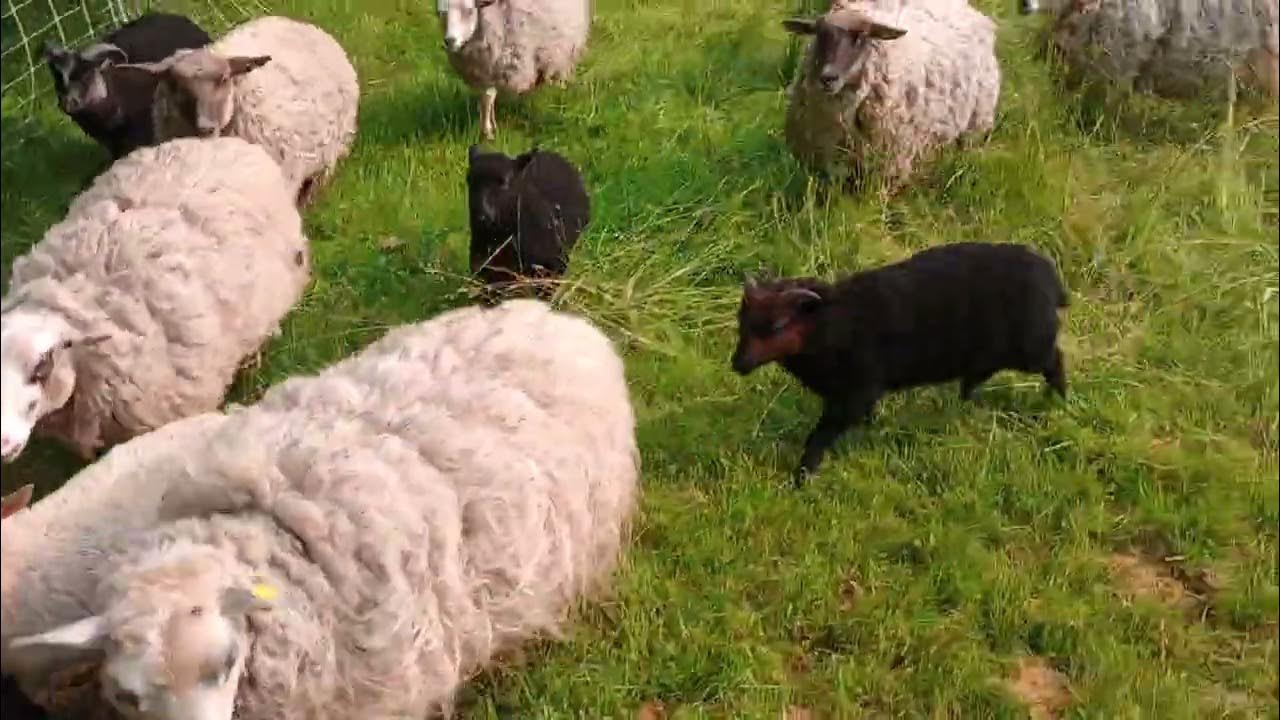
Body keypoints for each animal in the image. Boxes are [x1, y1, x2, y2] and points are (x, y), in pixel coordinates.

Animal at [439, 0, 591, 140]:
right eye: (441, 13)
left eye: (470, 11)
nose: (449, 41)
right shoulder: (486, 71)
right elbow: (487, 100)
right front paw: (491, 126)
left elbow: (488, 98)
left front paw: (487, 133)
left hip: (563, 50)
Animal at [731, 242, 1069, 484]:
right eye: (742, 318)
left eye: (778, 325)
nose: (738, 364)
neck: (833, 324)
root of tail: (1051, 277)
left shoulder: (856, 391)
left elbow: (820, 436)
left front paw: (801, 477)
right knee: (982, 371)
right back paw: (965, 398)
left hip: (1031, 343)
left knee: (1055, 361)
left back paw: (1058, 400)